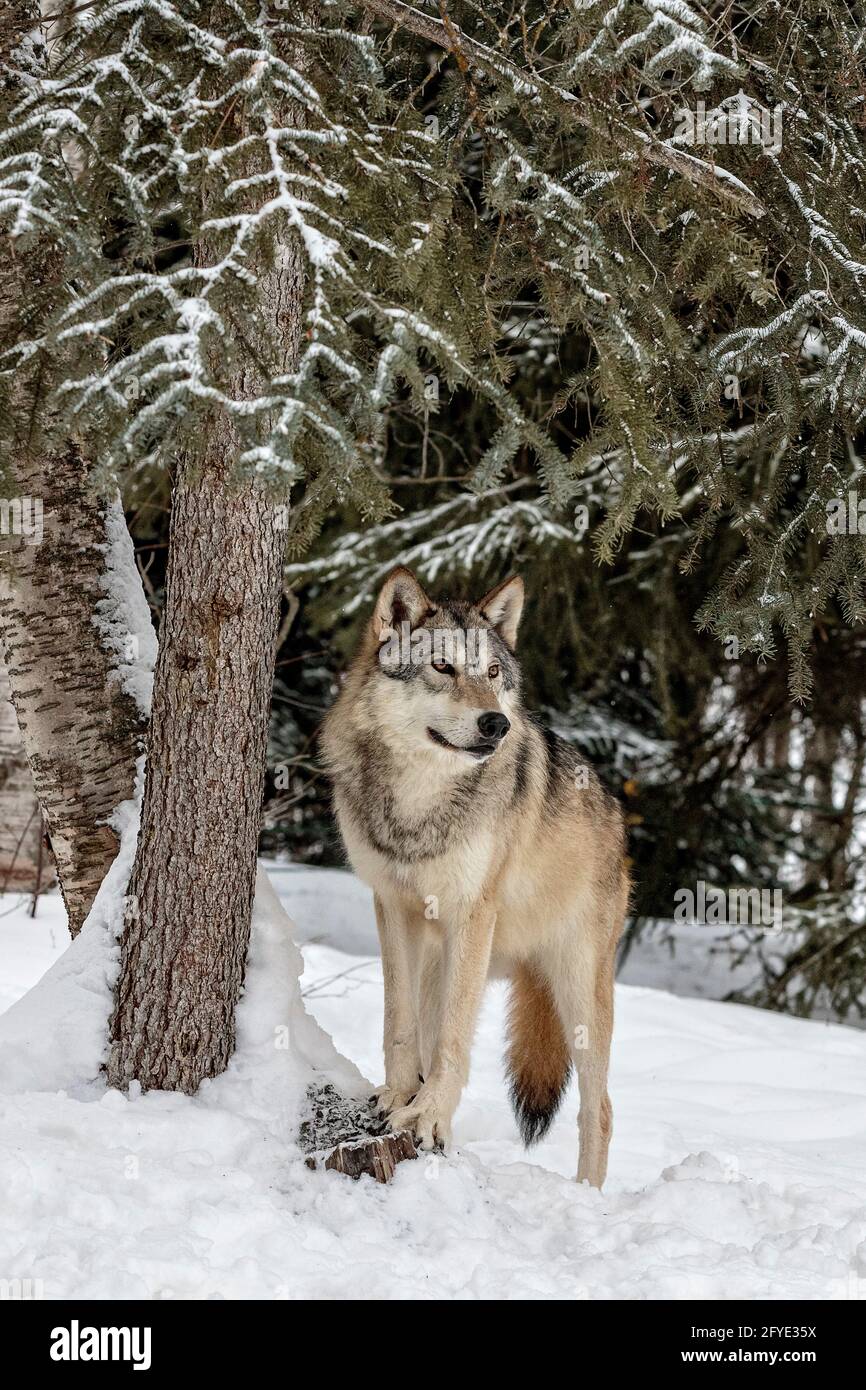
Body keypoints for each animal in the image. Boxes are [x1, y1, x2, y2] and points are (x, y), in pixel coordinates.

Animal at [321, 566, 629, 1187]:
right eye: (443, 667)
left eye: (491, 674)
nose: (497, 723)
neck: (419, 802)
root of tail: (616, 814)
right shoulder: (392, 906)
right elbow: (398, 1021)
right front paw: (398, 1098)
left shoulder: (472, 913)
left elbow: (454, 1040)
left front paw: (429, 1118)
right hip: (443, 960)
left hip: (577, 992)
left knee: (601, 1110)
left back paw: (587, 1196)